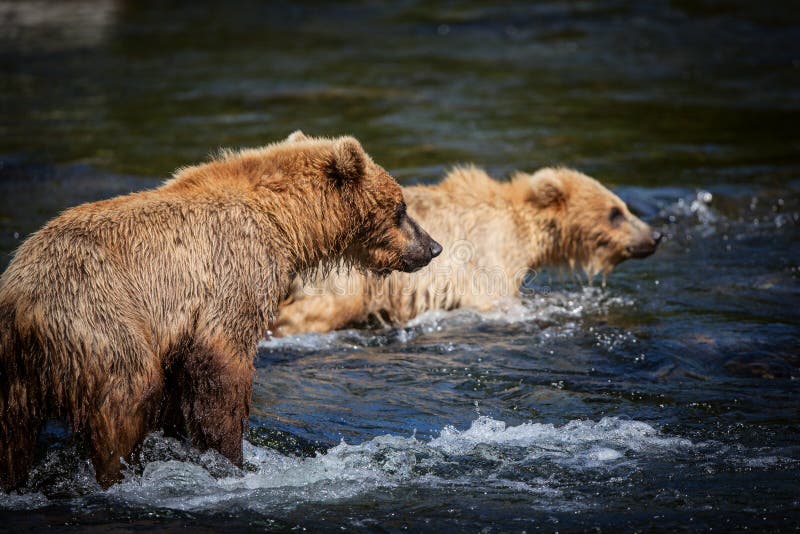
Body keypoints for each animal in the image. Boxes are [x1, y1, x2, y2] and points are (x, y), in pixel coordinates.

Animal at [0, 131, 441, 490]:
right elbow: (220, 365)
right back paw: (117, 473)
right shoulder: (232, 271)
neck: (286, 223)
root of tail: (22, 304)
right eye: (401, 207)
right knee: (128, 394)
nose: (433, 247)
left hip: (14, 374)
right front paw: (230, 459)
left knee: (13, 436)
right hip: (97, 319)